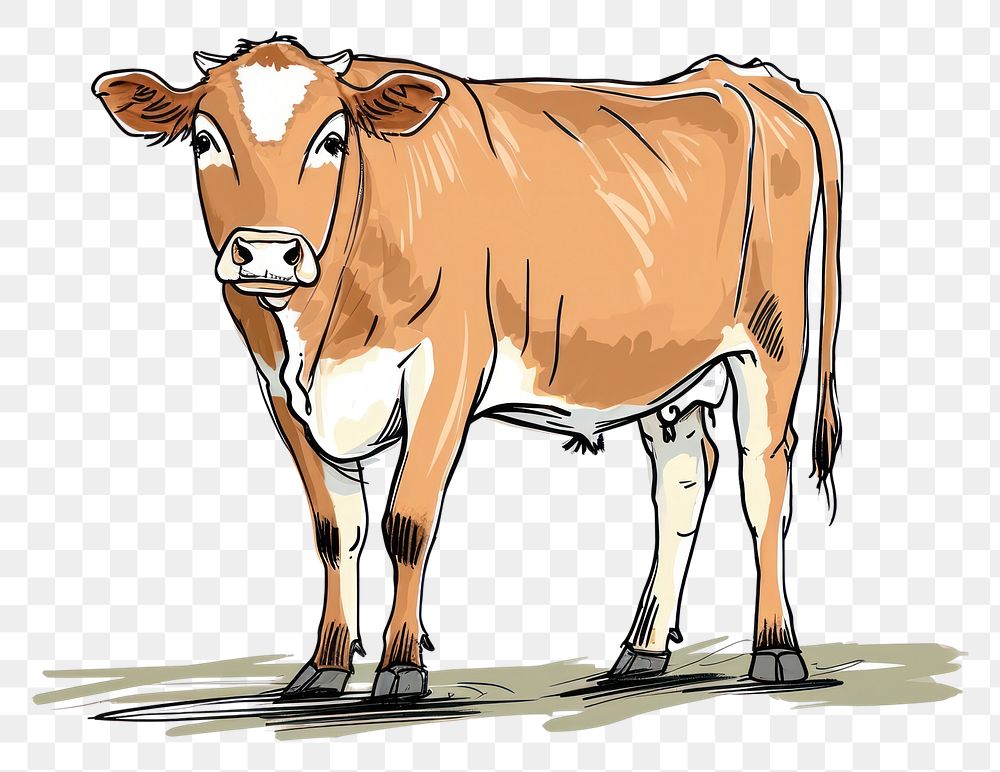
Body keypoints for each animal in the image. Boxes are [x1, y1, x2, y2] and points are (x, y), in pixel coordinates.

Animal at [93, 35, 842, 700]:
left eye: (332, 141)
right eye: (204, 141)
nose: (270, 255)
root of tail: (748, 76)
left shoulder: (445, 370)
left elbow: (406, 523)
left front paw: (401, 666)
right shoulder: (282, 391)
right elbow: (336, 531)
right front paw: (325, 666)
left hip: (771, 345)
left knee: (762, 485)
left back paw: (776, 650)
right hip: (667, 373)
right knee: (682, 485)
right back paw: (642, 652)